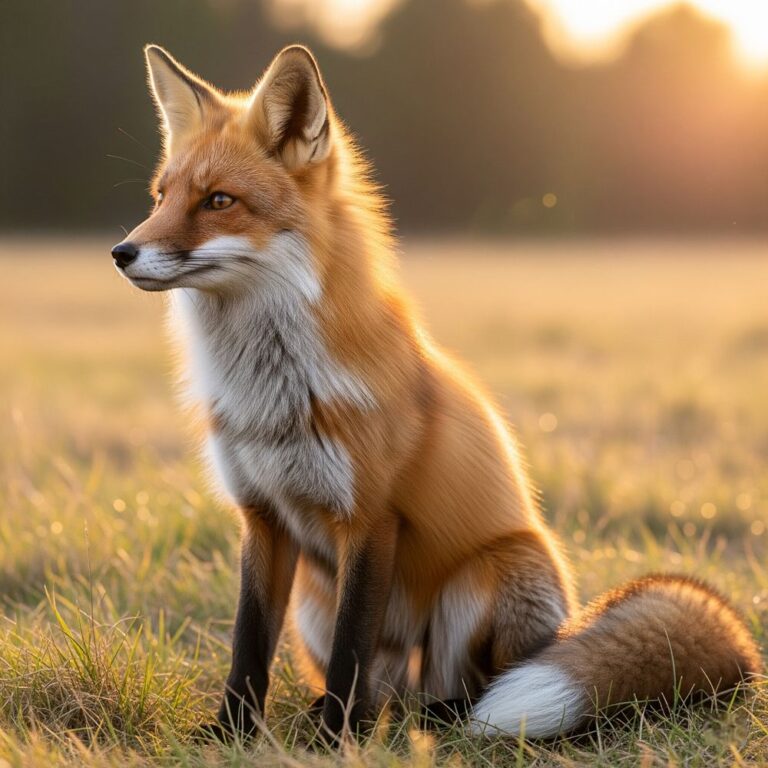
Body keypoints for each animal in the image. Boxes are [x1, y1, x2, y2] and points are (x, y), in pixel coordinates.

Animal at [112, 43, 761, 742]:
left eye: (218, 200)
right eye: (161, 196)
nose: (121, 252)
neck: (274, 394)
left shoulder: (371, 517)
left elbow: (350, 648)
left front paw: (336, 740)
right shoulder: (261, 516)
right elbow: (248, 644)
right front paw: (232, 733)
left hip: (488, 578)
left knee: (463, 691)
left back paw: (428, 718)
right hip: (315, 599)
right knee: (387, 693)